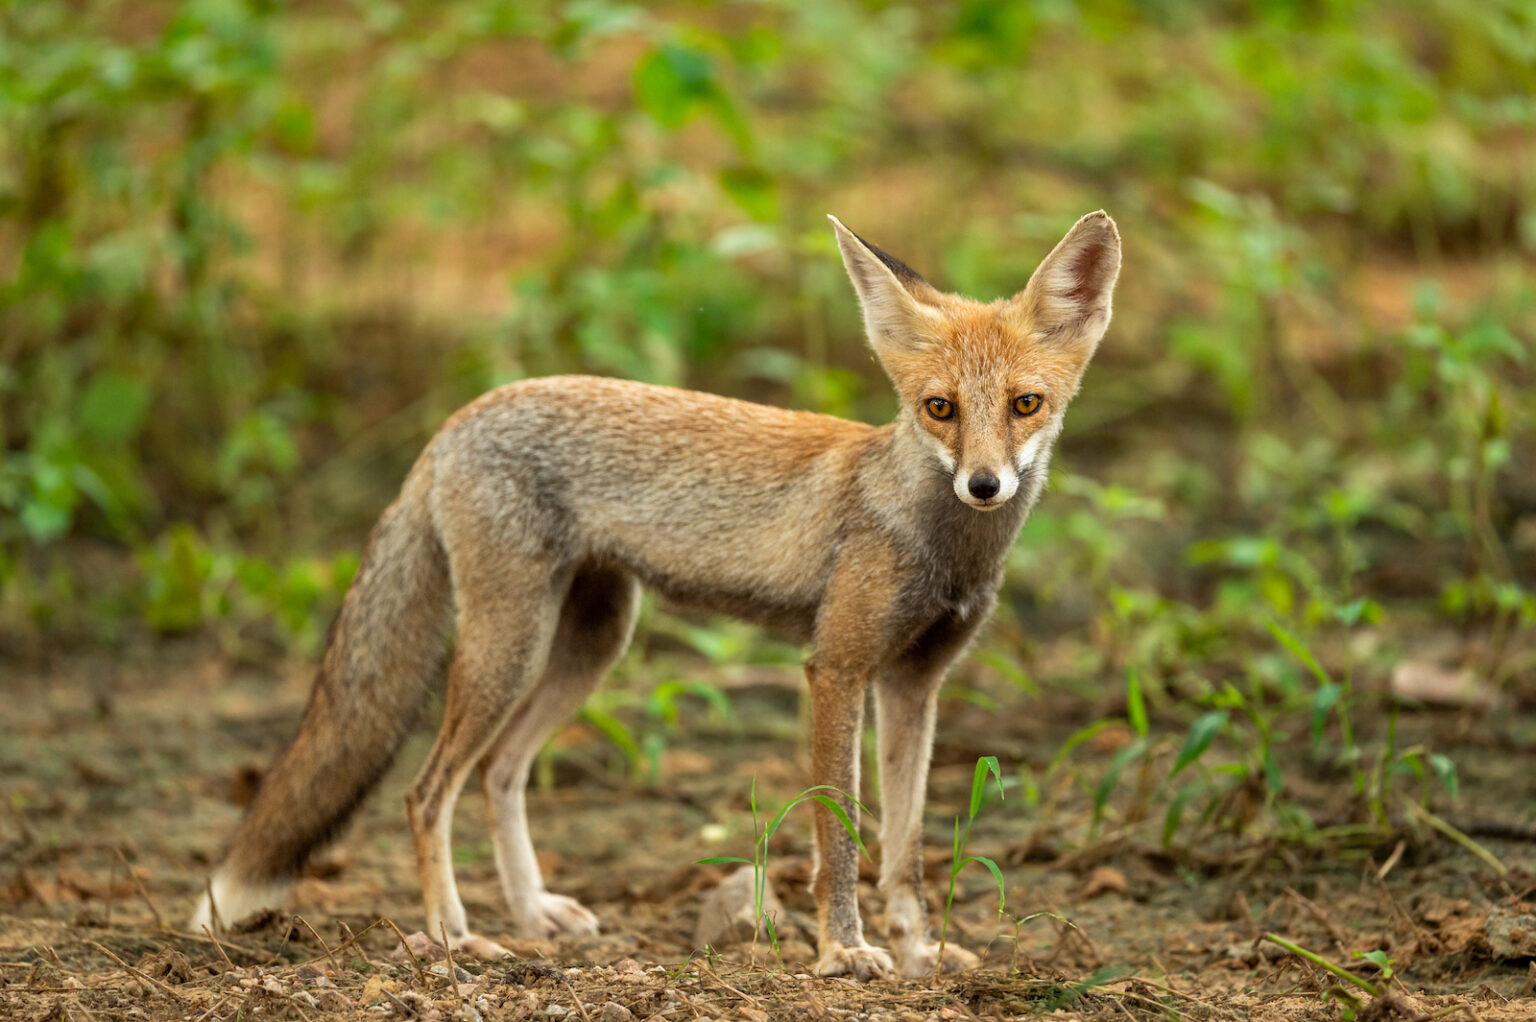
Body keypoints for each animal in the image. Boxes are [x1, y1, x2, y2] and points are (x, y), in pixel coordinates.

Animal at [190, 210, 1121, 980]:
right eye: (940, 408)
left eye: (1025, 404)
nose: (985, 485)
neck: (937, 544)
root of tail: (458, 418)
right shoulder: (837, 669)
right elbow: (841, 834)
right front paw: (843, 952)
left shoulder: (914, 684)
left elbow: (908, 847)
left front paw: (920, 951)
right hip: (509, 645)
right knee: (427, 792)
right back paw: (456, 935)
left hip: (594, 641)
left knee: (498, 771)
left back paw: (531, 912)